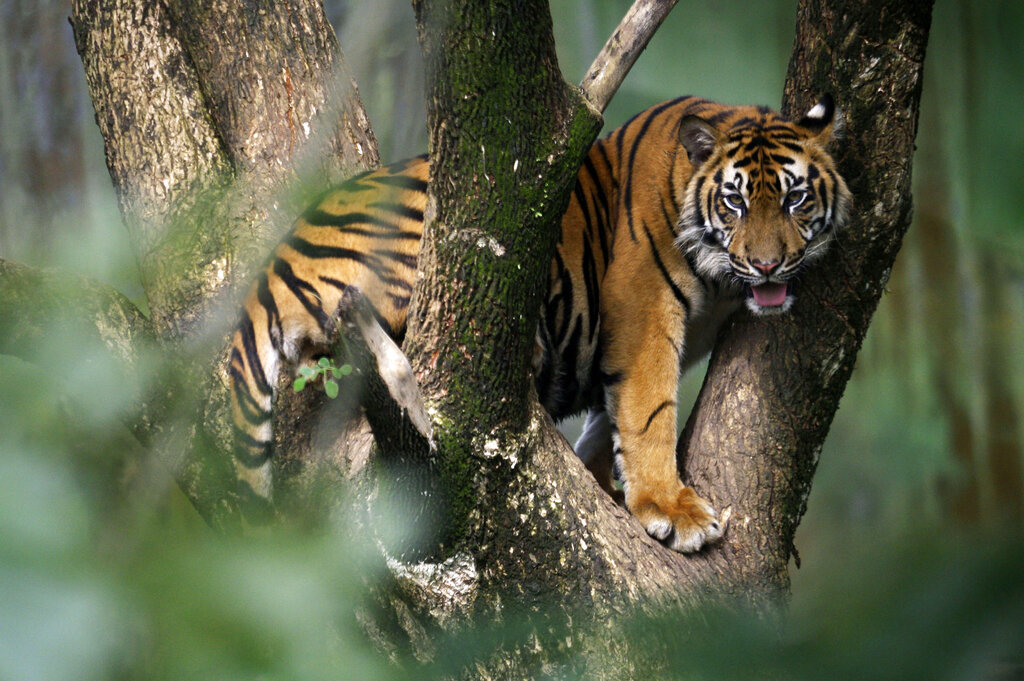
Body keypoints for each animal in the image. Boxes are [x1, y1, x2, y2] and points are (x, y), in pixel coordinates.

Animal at [229, 95, 851, 552]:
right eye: (735, 202)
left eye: (795, 199)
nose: (768, 265)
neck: (724, 284)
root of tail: (271, 268)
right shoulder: (642, 312)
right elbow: (648, 411)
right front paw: (673, 510)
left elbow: (609, 423)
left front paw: (617, 490)